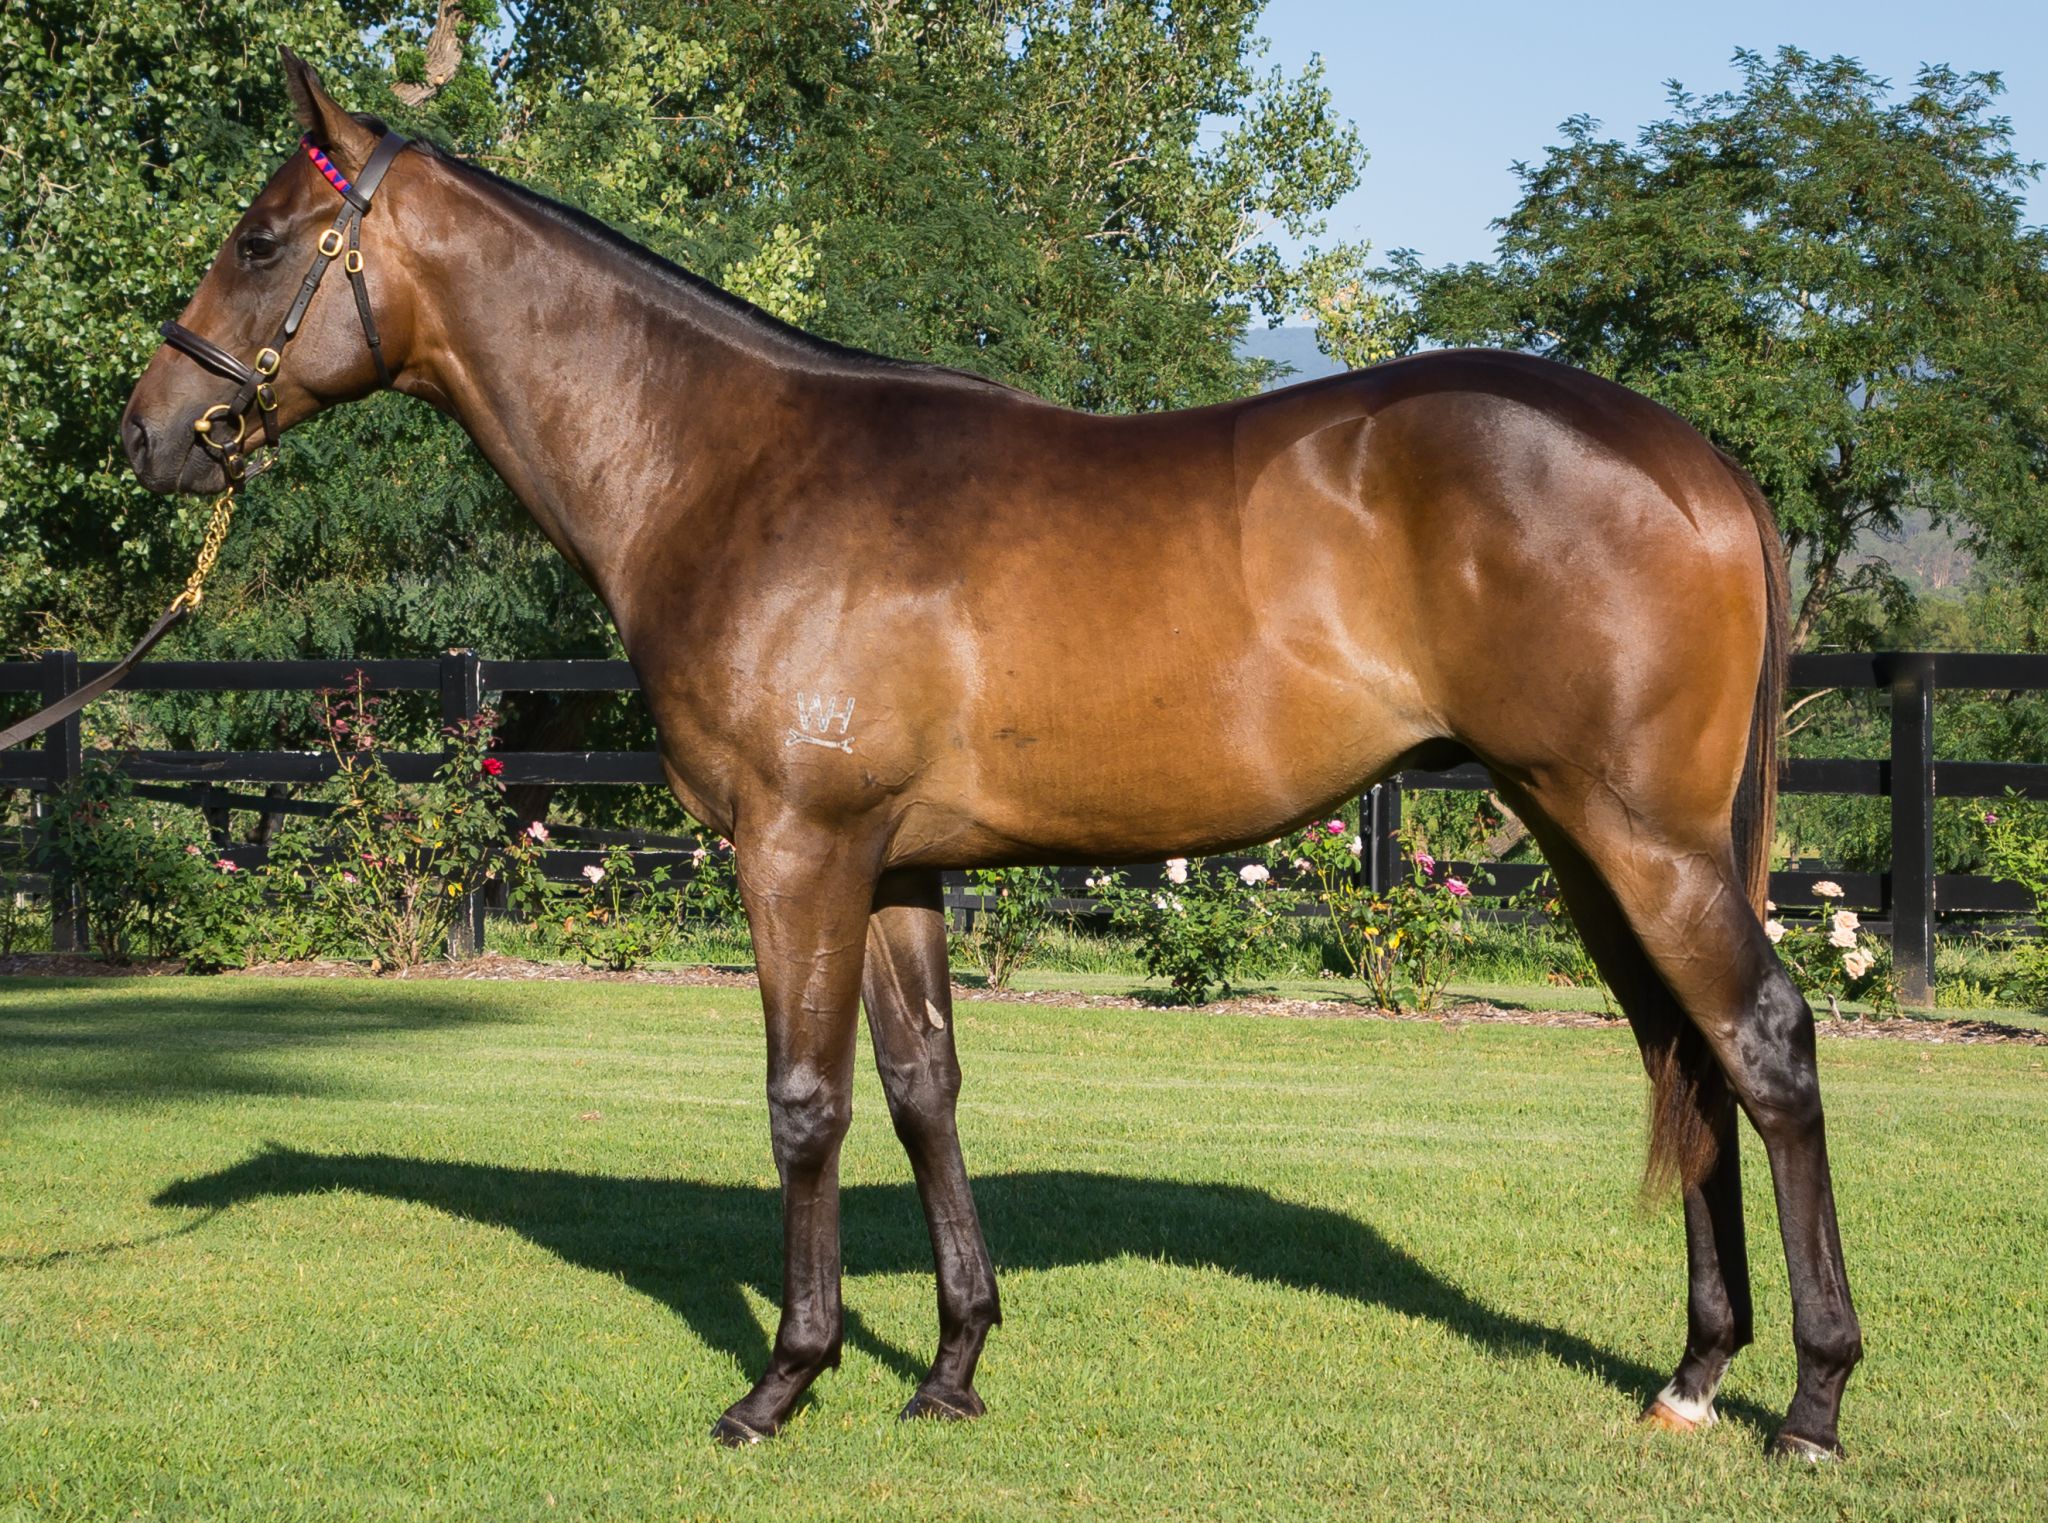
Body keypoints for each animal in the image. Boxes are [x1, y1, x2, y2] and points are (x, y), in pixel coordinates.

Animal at [120, 49, 1861, 1457]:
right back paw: (1696, 1373)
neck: (727, 466)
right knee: (1682, 1049)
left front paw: (782, 1379)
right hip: (1582, 836)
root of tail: (1700, 463)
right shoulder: (894, 867)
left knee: (1763, 1041)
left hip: (1640, 831)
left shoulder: (796, 844)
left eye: (259, 239)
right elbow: (923, 1088)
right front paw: (950, 1366)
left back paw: (1814, 1397)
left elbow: (805, 1100)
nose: (146, 434)